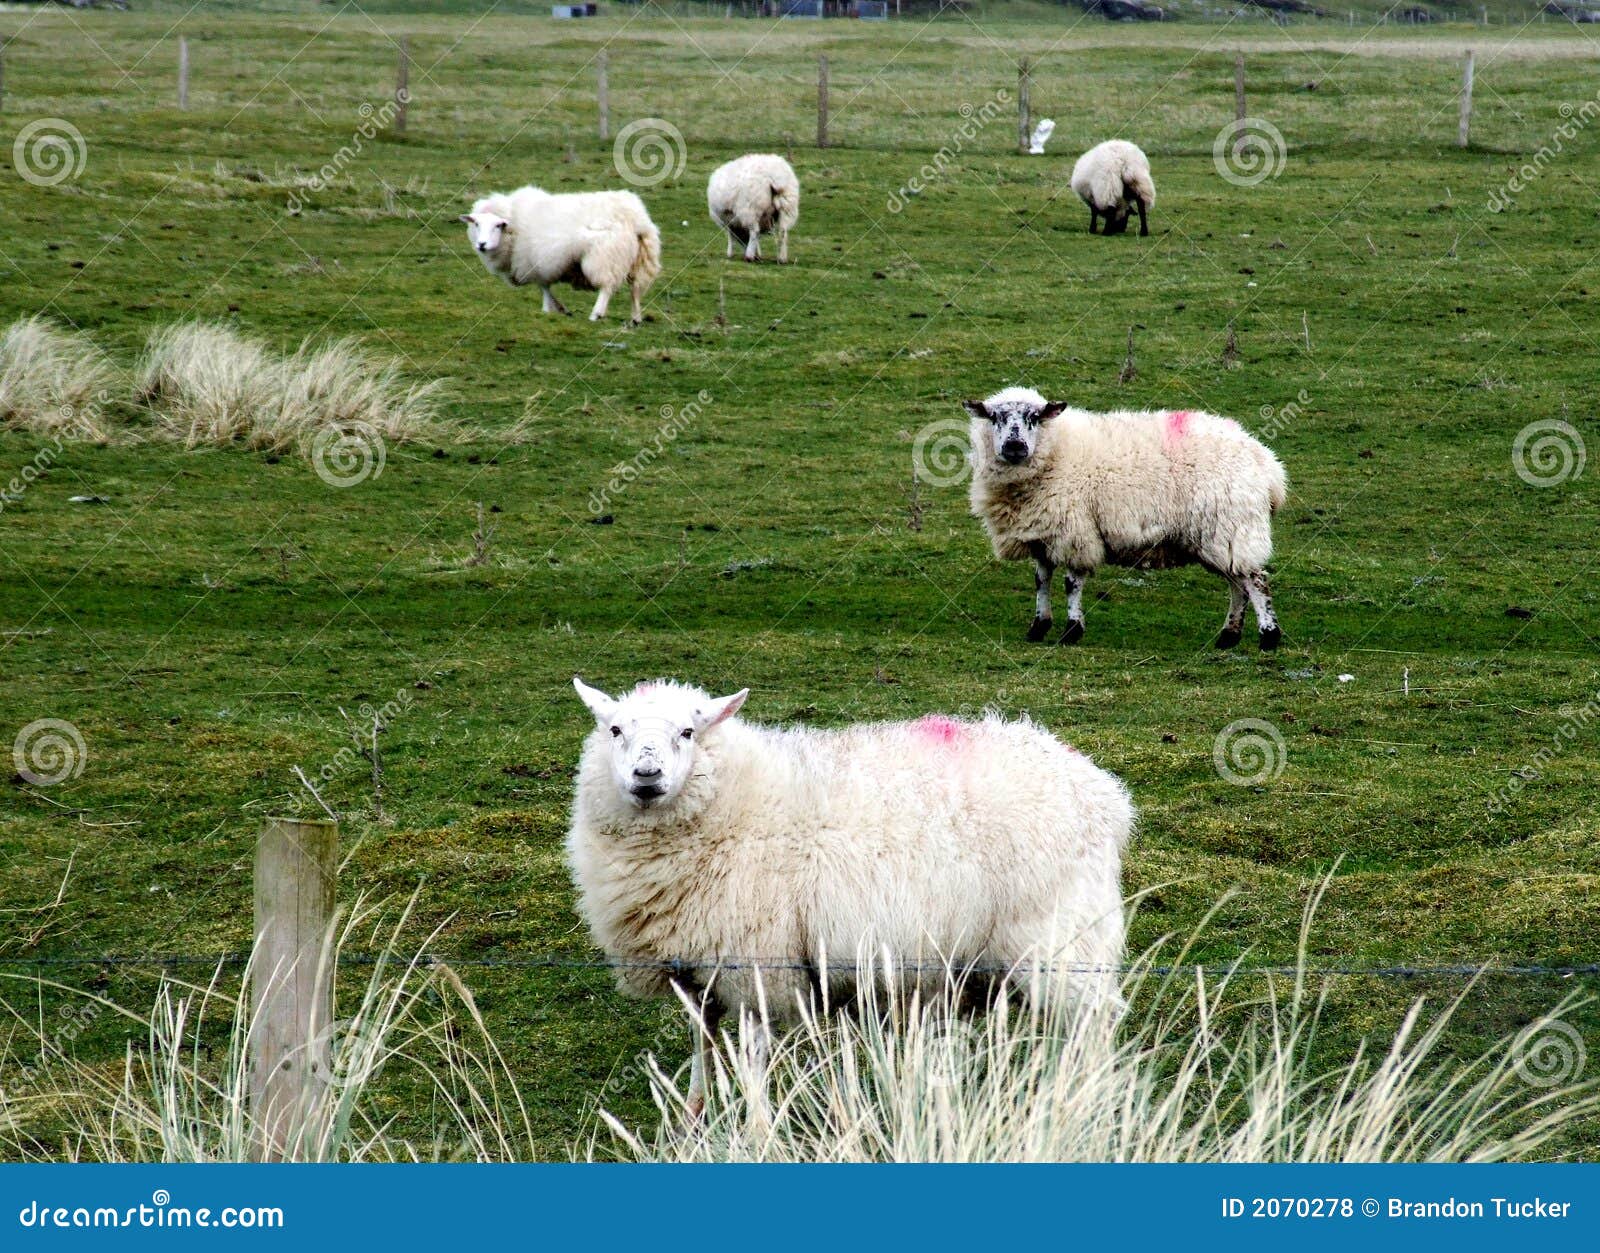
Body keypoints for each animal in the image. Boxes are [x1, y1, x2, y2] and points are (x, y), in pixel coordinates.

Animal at [460, 185, 661, 323]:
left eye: (498, 225)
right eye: (476, 224)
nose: (481, 245)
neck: (514, 227)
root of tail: (635, 217)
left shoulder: (535, 261)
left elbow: (544, 287)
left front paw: (549, 309)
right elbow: (545, 287)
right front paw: (559, 309)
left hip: (604, 256)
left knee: (607, 287)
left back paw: (596, 314)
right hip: (639, 258)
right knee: (635, 288)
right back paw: (636, 318)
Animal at [567, 676, 1133, 1115]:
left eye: (687, 732)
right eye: (615, 730)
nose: (646, 777)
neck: (734, 801)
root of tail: (1101, 792)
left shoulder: (758, 966)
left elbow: (751, 1059)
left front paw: (757, 1129)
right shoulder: (695, 970)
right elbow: (701, 1048)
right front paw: (692, 1122)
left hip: (1063, 938)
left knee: (1095, 1026)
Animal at [963, 387, 1287, 650]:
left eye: (1035, 417)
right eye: (994, 417)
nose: (1014, 446)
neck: (1056, 450)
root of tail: (1267, 464)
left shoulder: (1077, 532)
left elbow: (1071, 583)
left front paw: (1071, 631)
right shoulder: (1044, 534)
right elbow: (1041, 581)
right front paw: (1038, 627)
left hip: (1231, 527)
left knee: (1255, 582)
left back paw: (1268, 636)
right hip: (1221, 536)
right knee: (1237, 585)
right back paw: (1229, 636)